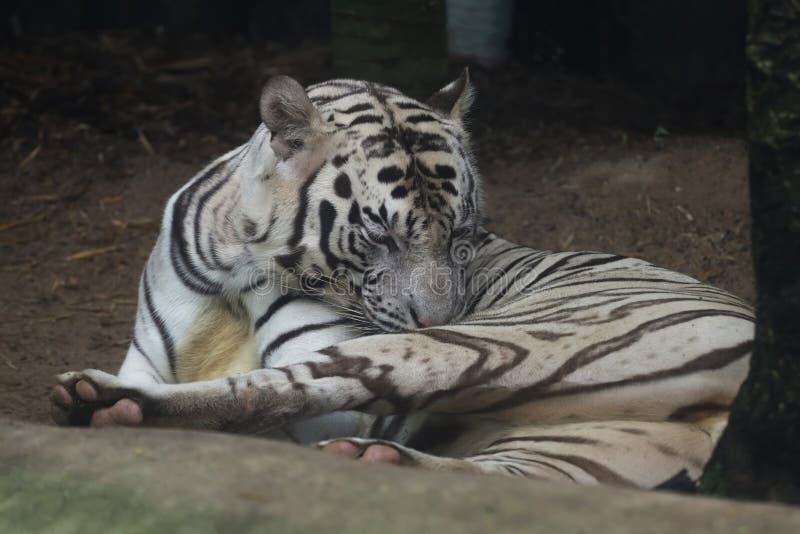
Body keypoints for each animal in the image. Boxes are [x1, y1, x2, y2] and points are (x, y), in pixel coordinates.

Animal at [50, 71, 754, 489]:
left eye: (463, 237)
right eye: (382, 238)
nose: (440, 316)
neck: (240, 264)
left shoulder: (341, 407)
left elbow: (279, 395)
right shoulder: (148, 354)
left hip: (499, 343)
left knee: (282, 386)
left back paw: (104, 402)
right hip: (590, 442)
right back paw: (379, 462)